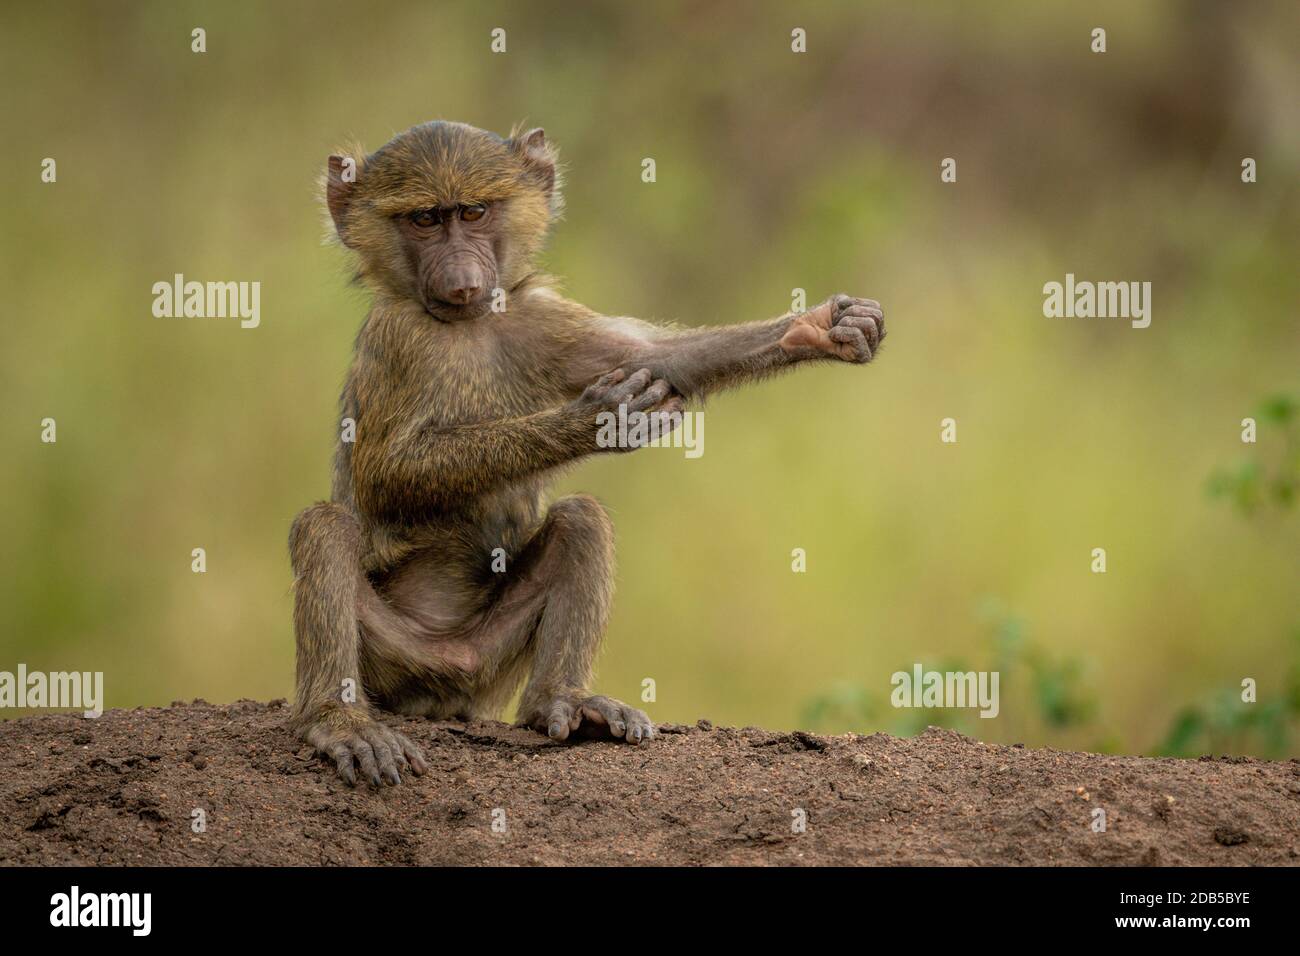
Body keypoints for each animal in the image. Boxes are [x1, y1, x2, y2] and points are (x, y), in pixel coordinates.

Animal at [290, 120, 886, 786]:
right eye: (424, 219)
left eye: (473, 212)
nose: (463, 280)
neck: (469, 323)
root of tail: (443, 681)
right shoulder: (396, 339)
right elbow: (384, 474)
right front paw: (595, 422)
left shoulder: (539, 315)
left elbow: (659, 358)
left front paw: (821, 326)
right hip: (390, 660)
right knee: (324, 529)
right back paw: (341, 723)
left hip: (488, 661)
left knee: (581, 519)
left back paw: (563, 700)